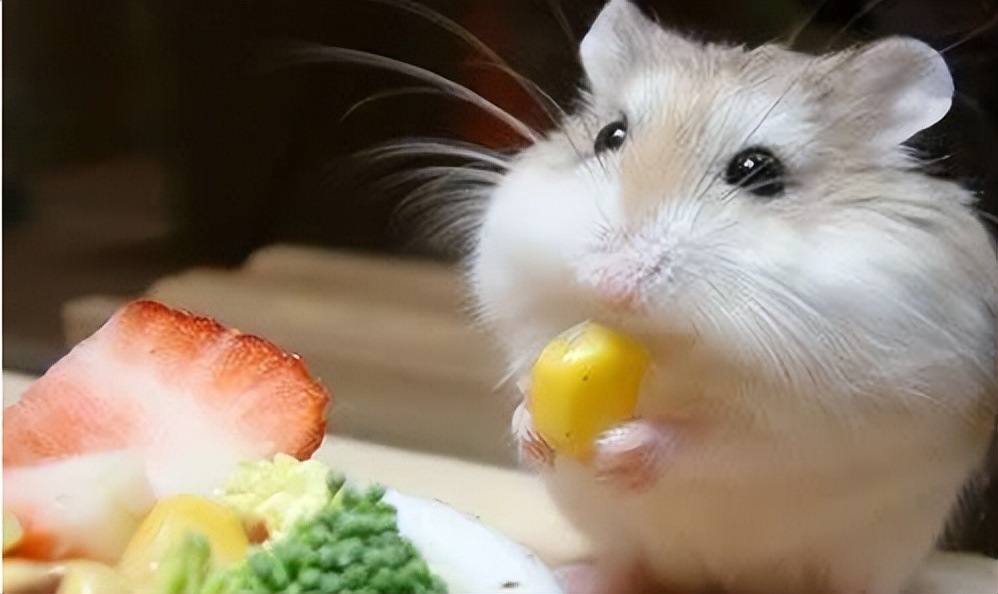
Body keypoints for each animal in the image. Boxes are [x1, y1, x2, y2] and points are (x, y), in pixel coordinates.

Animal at [466, 0, 998, 592]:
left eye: (757, 170)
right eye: (610, 135)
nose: (611, 282)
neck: (664, 343)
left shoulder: (825, 419)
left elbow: (728, 443)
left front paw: (622, 449)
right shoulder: (525, 322)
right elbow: (524, 381)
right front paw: (532, 431)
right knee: (631, 562)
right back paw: (579, 575)